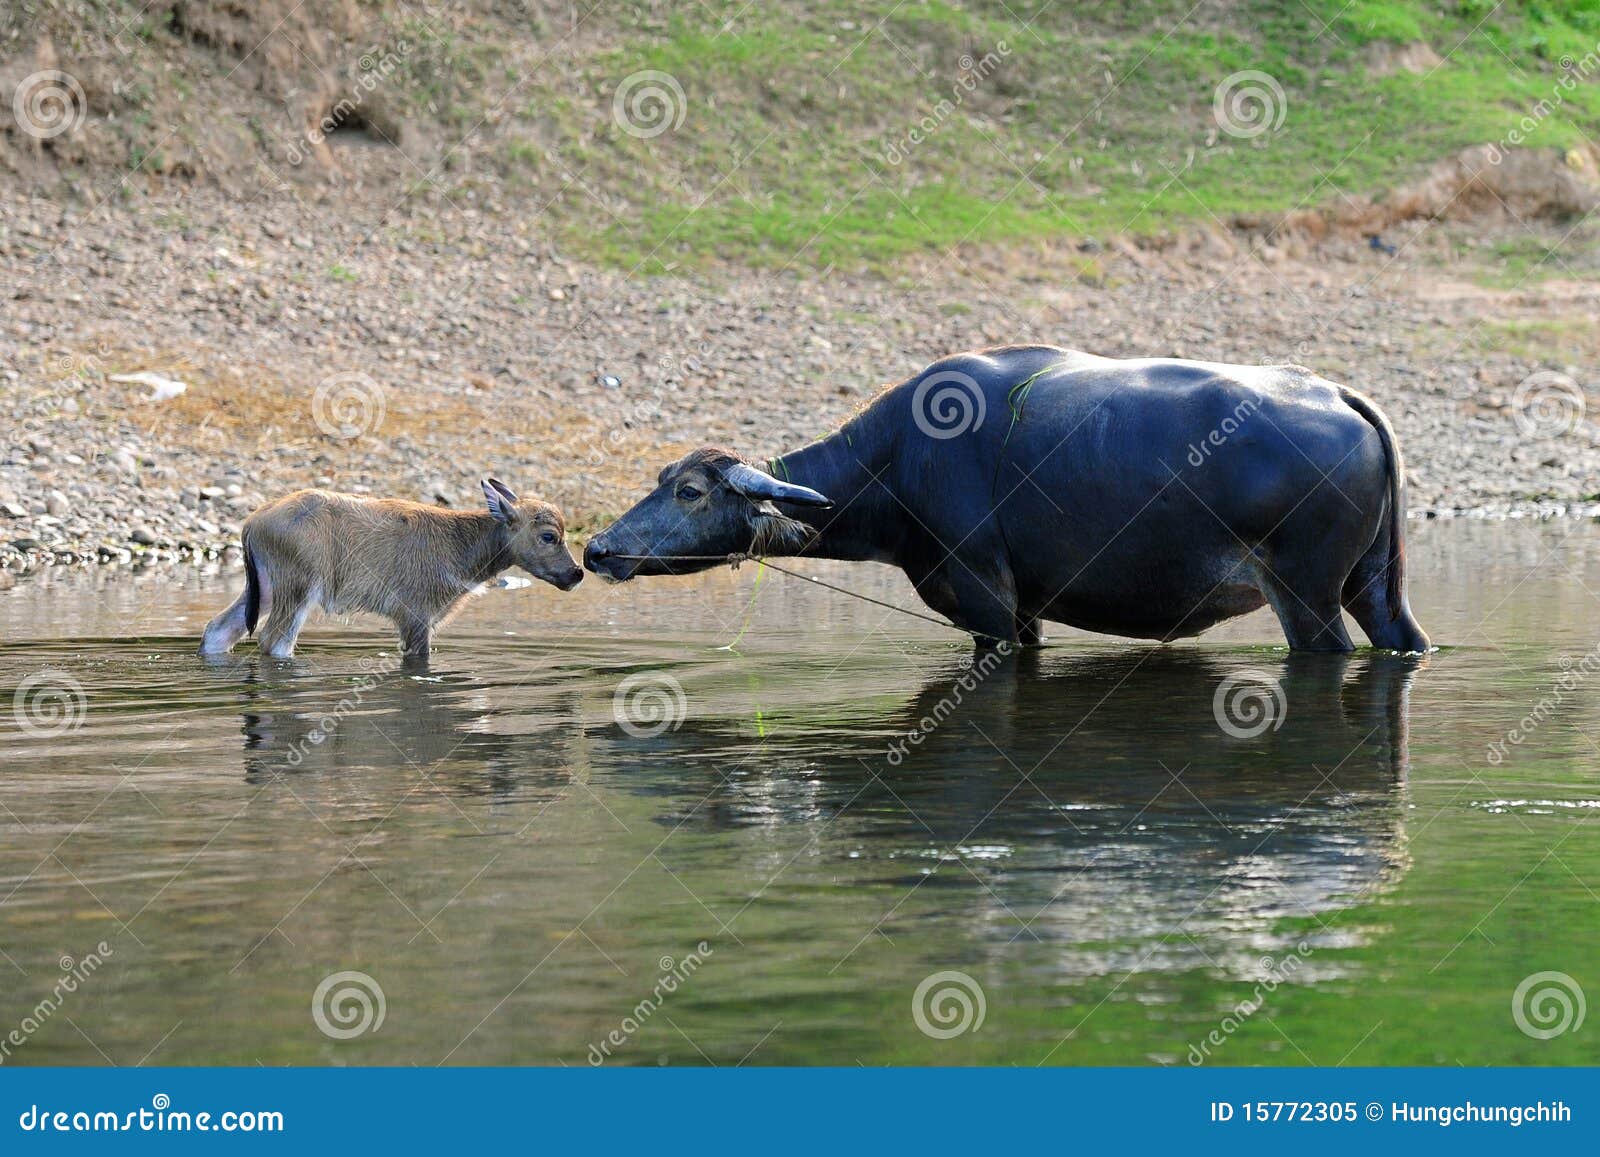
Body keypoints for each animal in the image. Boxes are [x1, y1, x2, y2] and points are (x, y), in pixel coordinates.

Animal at [585, 345, 1430, 653]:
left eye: (691, 490)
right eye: (661, 477)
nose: (598, 547)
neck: (898, 461)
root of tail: (1341, 397)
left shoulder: (987, 597)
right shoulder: (1023, 608)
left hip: (1306, 594)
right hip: (1372, 583)